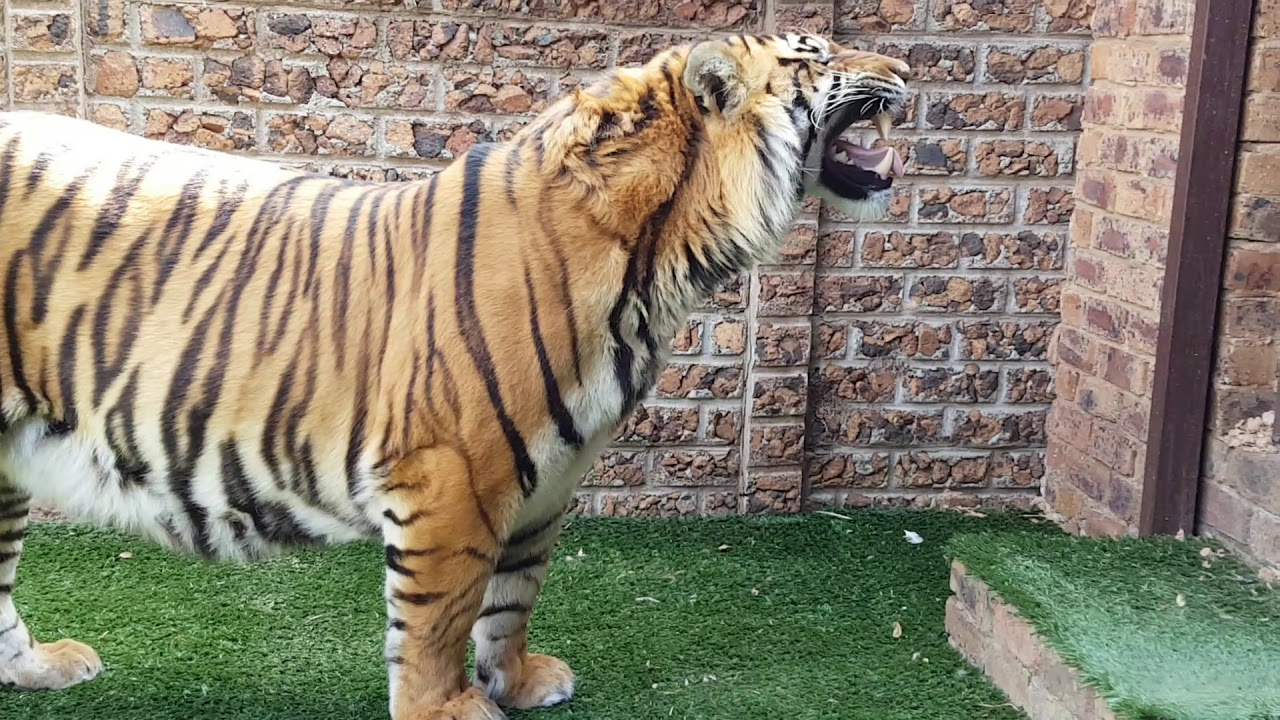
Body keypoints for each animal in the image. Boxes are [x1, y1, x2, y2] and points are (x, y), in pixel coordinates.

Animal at [0, 33, 909, 719]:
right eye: (820, 54)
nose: (905, 69)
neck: (660, 257)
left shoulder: (548, 474)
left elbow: (512, 597)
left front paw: (517, 682)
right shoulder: (450, 475)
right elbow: (439, 617)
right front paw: (446, 709)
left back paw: (38, 668)